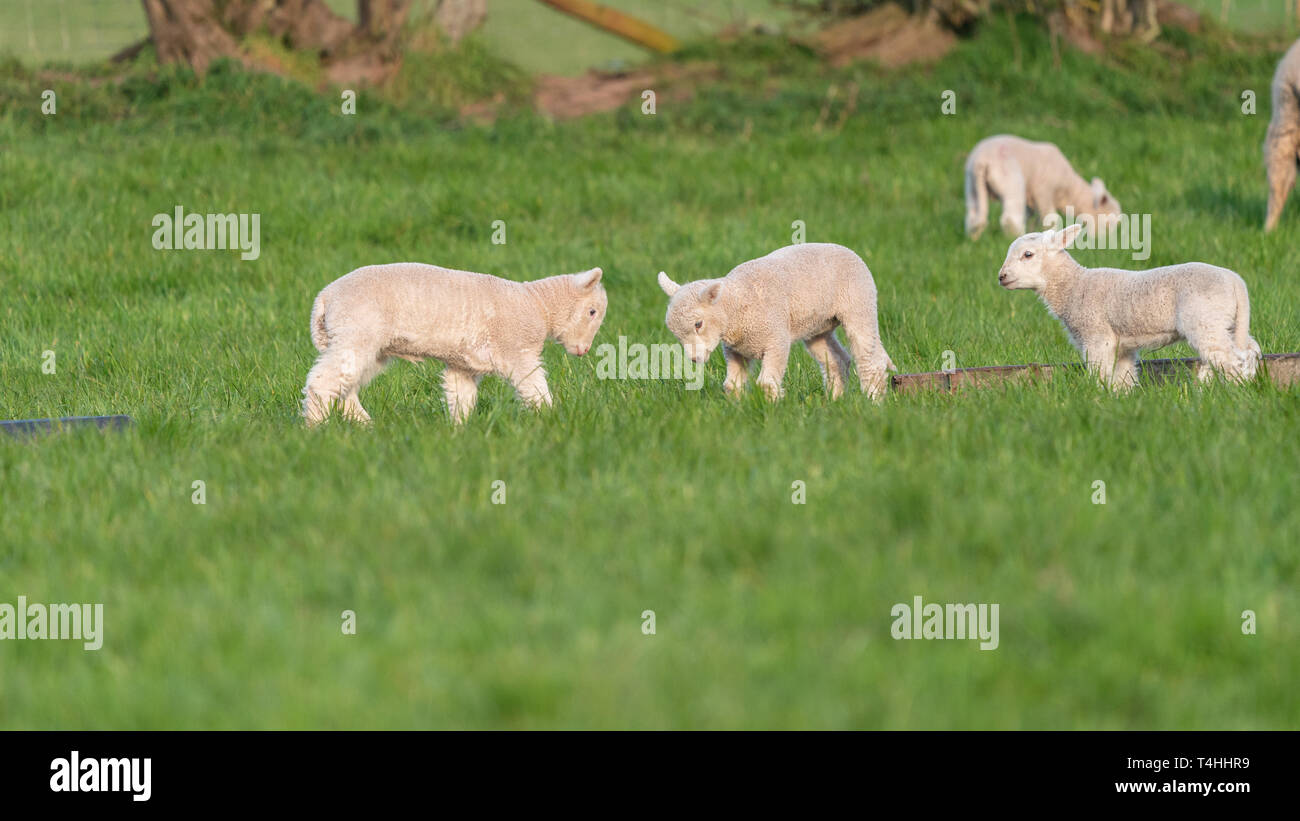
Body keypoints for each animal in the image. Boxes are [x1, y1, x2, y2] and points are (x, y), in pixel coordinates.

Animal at [303, 263, 607, 425]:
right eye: (592, 312)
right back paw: (314, 428)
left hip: (364, 345)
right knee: (323, 382)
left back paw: (367, 426)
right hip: (357, 333)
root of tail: (324, 298)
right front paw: (551, 418)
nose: (584, 351)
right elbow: (534, 387)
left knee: (345, 389)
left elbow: (461, 396)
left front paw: (460, 432)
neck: (539, 305)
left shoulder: (464, 364)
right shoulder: (518, 351)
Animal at [656, 243, 896, 401]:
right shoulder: (735, 350)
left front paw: (769, 410)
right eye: (676, 334)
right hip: (817, 327)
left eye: (698, 324)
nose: (694, 359)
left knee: (869, 359)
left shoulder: (776, 340)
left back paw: (874, 400)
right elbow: (732, 385)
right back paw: (834, 400)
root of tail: (847, 249)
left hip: (859, 304)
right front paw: (737, 409)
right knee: (837, 360)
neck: (736, 306)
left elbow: (766, 384)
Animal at [965, 134, 1121, 239]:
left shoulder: (1032, 200)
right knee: (1010, 218)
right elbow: (1050, 217)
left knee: (974, 217)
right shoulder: (1043, 190)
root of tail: (982, 160)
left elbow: (1032, 217)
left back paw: (974, 238)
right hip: (1011, 182)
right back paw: (1013, 237)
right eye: (1109, 222)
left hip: (972, 185)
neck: (1068, 191)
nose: (1106, 240)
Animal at [998, 224, 1261, 390]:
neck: (1074, 286)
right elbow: (1123, 377)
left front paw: (1095, 396)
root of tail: (1236, 281)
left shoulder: (1097, 336)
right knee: (1248, 351)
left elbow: (1099, 372)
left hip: (1204, 318)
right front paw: (1122, 398)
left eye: (1028, 255)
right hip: (1228, 321)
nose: (1001, 277)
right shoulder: (1122, 345)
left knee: (1229, 358)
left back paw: (1234, 391)